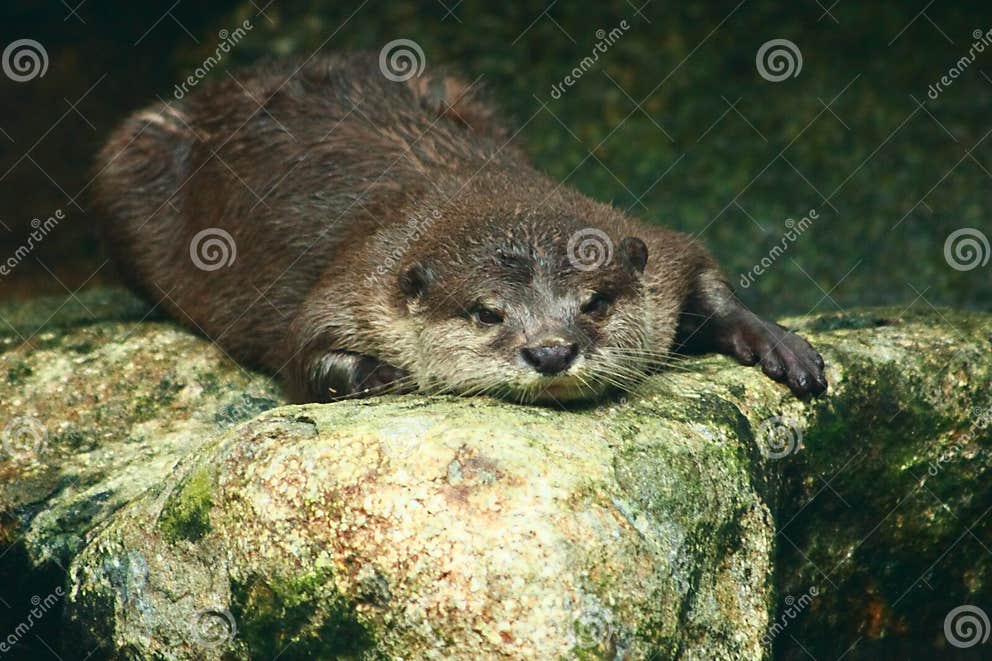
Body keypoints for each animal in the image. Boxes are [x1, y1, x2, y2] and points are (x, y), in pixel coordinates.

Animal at [94, 53, 827, 404]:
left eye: (593, 303)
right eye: (487, 313)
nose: (550, 352)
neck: (473, 190)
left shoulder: (654, 244)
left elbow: (701, 270)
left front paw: (776, 343)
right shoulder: (357, 279)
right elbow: (302, 356)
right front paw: (382, 376)